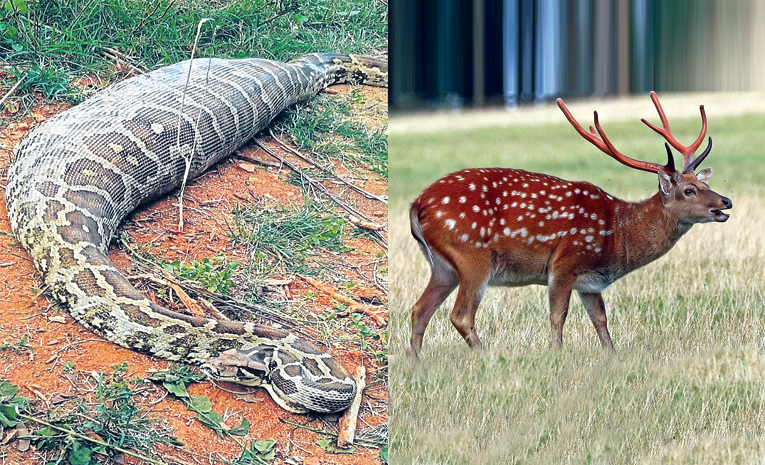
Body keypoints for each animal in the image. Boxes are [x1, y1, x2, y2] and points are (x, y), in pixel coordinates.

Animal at [408, 92, 732, 357]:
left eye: (704, 183)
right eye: (688, 190)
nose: (725, 202)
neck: (616, 234)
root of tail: (417, 203)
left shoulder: (590, 282)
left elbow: (600, 319)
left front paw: (612, 355)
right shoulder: (565, 261)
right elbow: (558, 315)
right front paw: (557, 354)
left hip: (443, 267)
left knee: (419, 310)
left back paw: (416, 362)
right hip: (472, 256)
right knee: (461, 315)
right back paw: (485, 356)